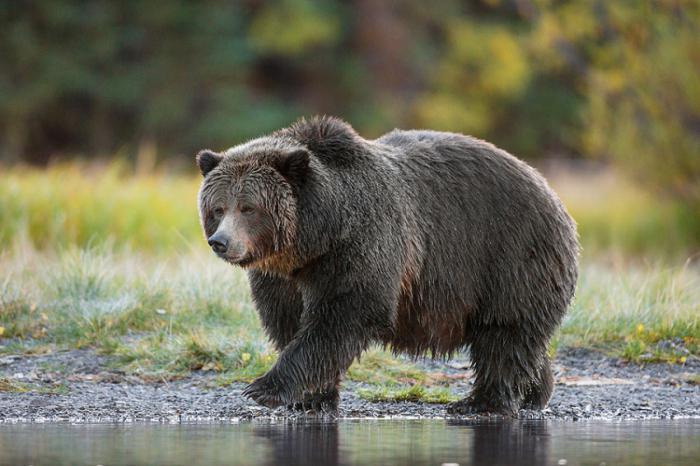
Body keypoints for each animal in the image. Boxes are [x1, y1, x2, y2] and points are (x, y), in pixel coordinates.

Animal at [197, 115, 580, 416]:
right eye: (217, 207)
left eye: (248, 207)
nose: (221, 242)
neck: (315, 237)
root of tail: (550, 190)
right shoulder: (283, 275)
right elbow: (288, 320)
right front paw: (311, 397)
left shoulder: (363, 243)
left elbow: (344, 313)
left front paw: (264, 388)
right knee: (519, 338)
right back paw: (535, 391)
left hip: (509, 254)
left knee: (503, 333)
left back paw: (481, 402)